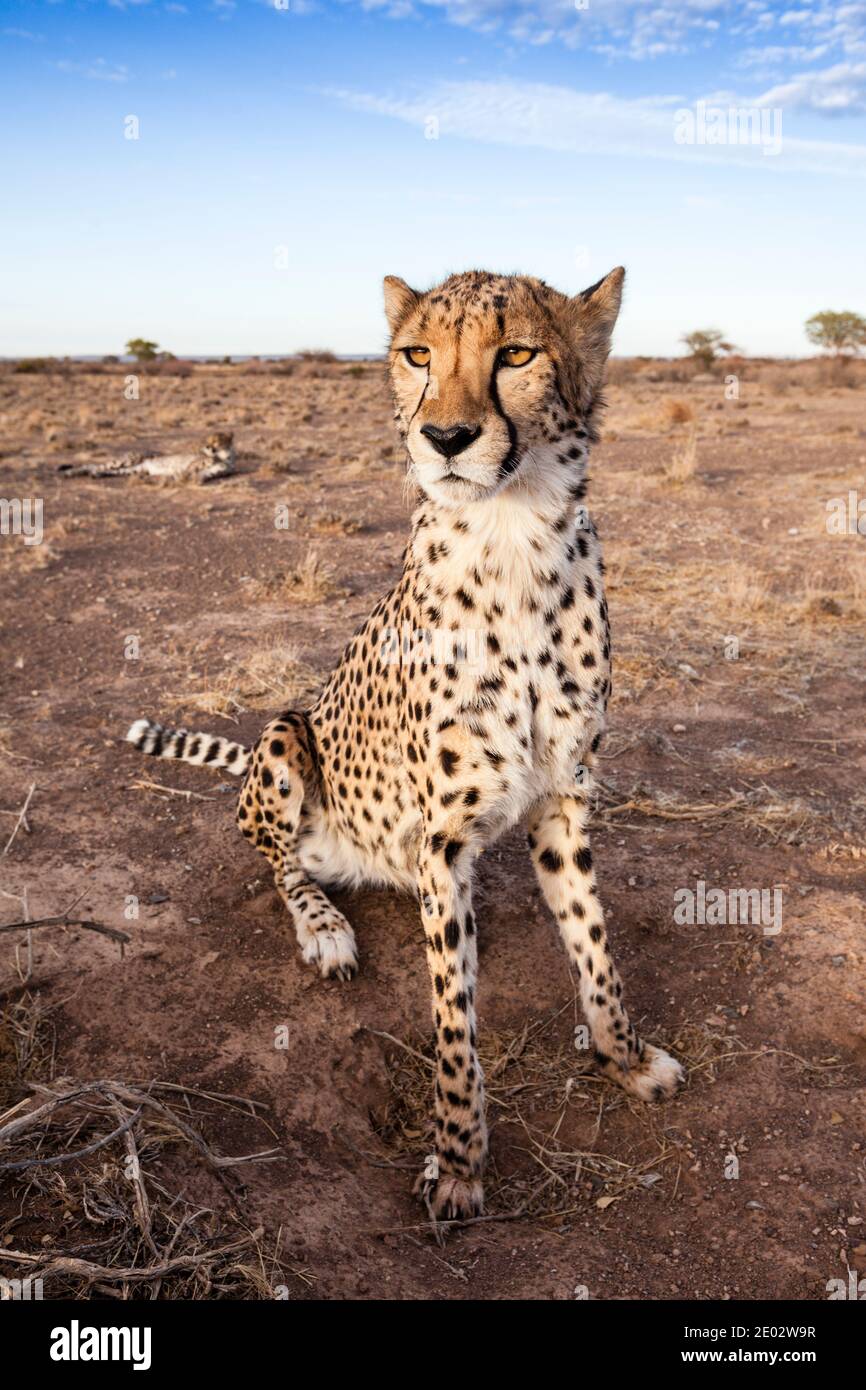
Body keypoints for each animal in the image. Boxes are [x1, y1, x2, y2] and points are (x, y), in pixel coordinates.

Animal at [58, 431, 235, 483]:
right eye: (208, 440)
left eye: (216, 441)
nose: (206, 446)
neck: (225, 457)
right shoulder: (191, 465)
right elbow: (187, 472)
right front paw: (177, 478)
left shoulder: (213, 472)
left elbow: (202, 476)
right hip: (127, 460)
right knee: (92, 465)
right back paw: (69, 472)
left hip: (132, 470)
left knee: (103, 470)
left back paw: (96, 475)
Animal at [126, 267, 684, 1221]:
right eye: (419, 355)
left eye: (517, 353)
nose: (446, 437)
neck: (513, 535)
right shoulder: (444, 836)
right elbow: (454, 1022)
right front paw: (458, 1161)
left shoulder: (562, 801)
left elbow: (596, 950)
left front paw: (626, 1057)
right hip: (286, 733)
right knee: (280, 860)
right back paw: (324, 927)